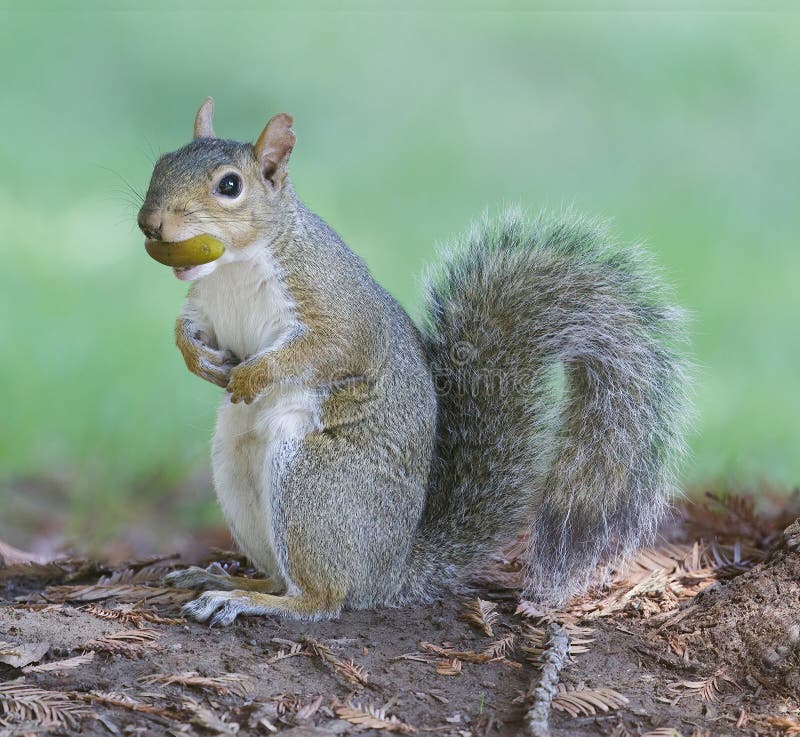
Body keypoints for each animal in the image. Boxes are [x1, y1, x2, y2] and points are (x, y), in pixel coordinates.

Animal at [138, 98, 690, 625]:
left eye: (230, 185)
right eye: (161, 162)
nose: (150, 223)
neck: (230, 267)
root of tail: (391, 571)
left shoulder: (333, 304)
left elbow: (326, 348)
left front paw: (254, 373)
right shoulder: (205, 308)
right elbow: (188, 331)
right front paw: (198, 359)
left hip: (314, 482)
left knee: (323, 598)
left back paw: (246, 600)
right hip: (235, 470)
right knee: (281, 576)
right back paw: (226, 580)